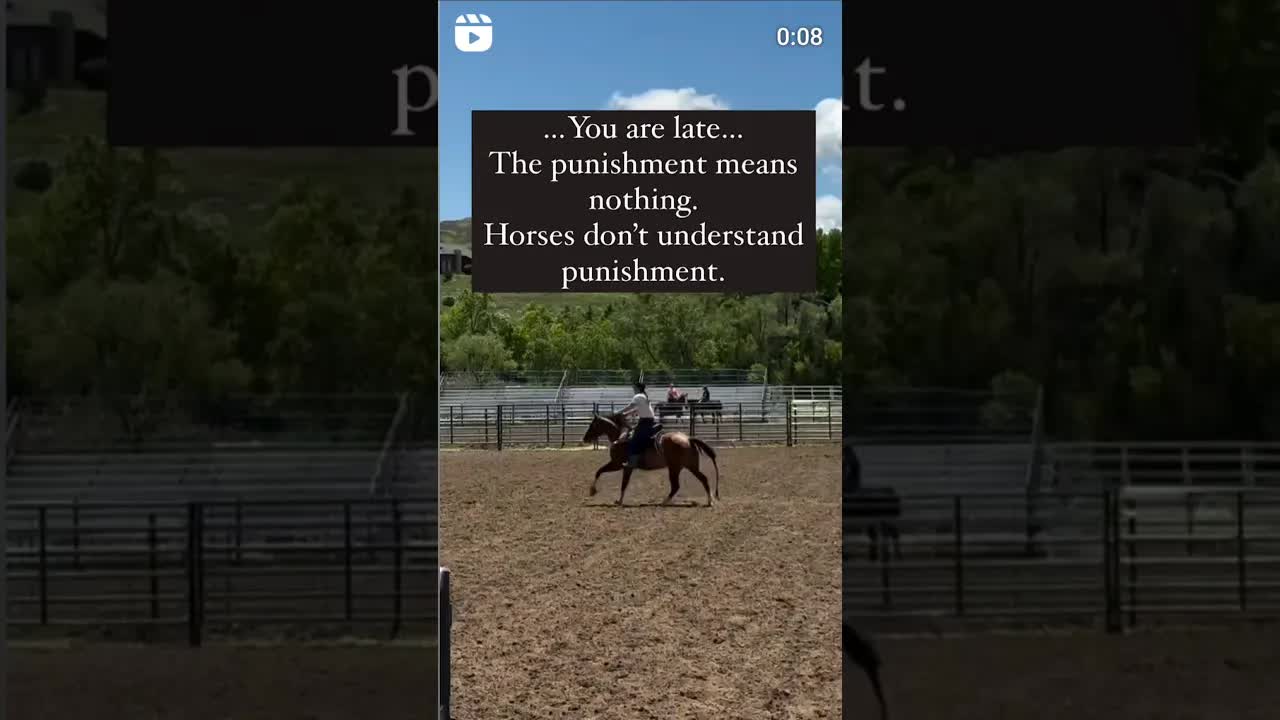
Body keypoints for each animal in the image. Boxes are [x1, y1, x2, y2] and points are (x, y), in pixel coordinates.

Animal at [581, 411, 720, 507]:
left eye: (592, 425)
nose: (585, 438)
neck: (620, 438)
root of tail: (688, 439)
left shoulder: (620, 465)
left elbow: (618, 481)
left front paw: (615, 499)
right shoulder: (621, 466)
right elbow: (601, 472)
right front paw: (594, 491)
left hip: (677, 468)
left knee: (679, 485)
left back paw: (665, 501)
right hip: (686, 467)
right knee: (700, 480)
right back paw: (708, 501)